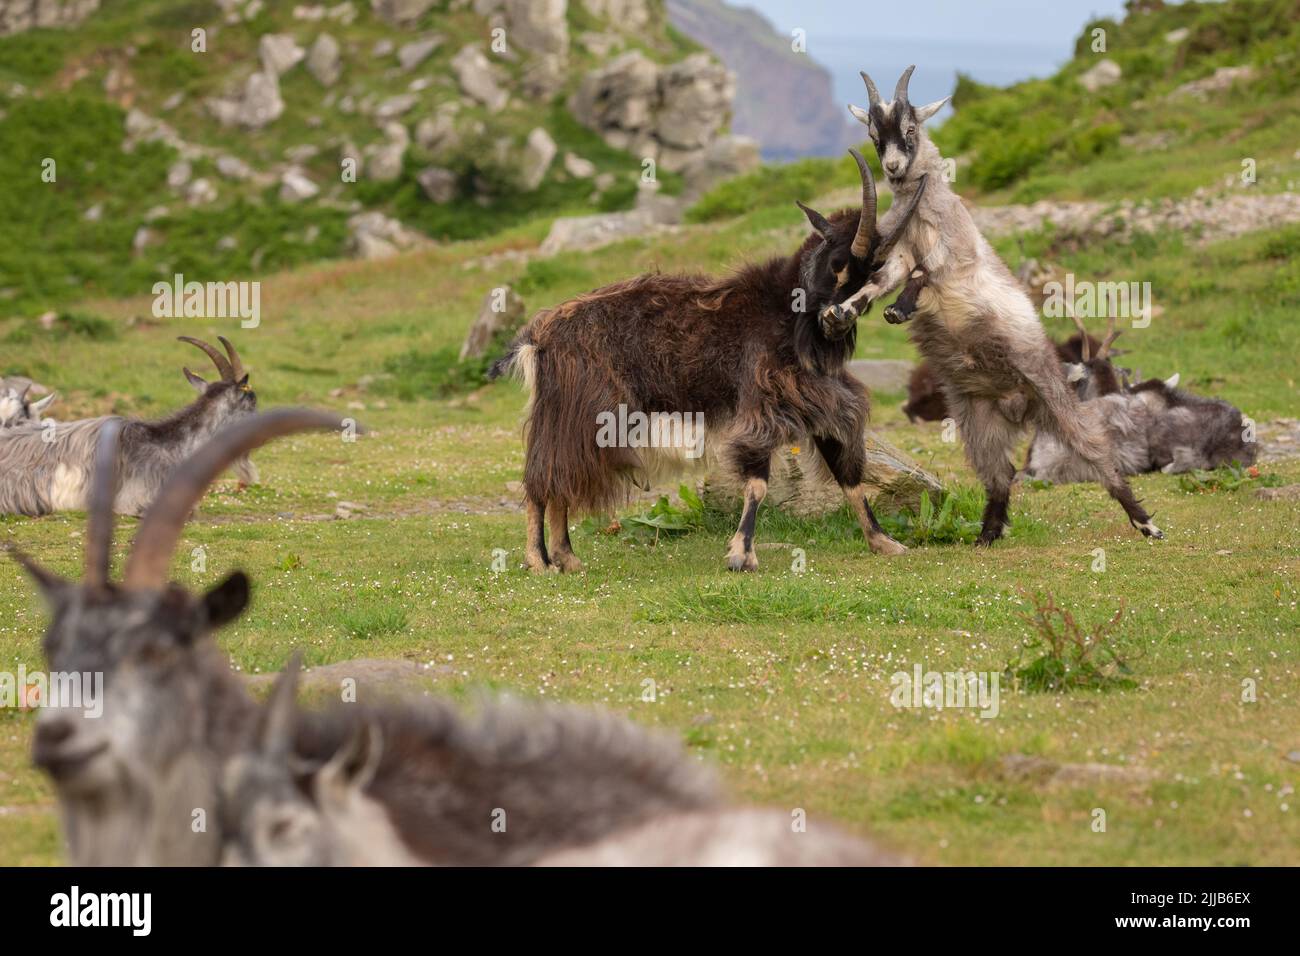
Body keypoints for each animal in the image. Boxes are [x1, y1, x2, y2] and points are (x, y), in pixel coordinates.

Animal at [491, 153, 927, 572]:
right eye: (836, 261)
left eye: (870, 275)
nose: (836, 320)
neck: (785, 310)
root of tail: (538, 334)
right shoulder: (762, 404)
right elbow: (757, 482)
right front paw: (742, 554)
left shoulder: (818, 401)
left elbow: (848, 473)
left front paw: (885, 542)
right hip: (579, 413)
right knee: (544, 479)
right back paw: (539, 560)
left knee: (560, 480)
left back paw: (566, 558)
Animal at [824, 66, 1164, 543]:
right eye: (874, 136)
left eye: (910, 129)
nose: (892, 168)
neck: (924, 209)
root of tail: (1017, 405)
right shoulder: (901, 252)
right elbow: (881, 281)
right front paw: (842, 313)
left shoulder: (953, 256)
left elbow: (923, 273)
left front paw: (899, 309)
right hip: (977, 419)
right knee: (999, 473)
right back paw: (988, 533)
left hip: (1054, 398)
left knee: (1096, 452)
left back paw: (1145, 522)